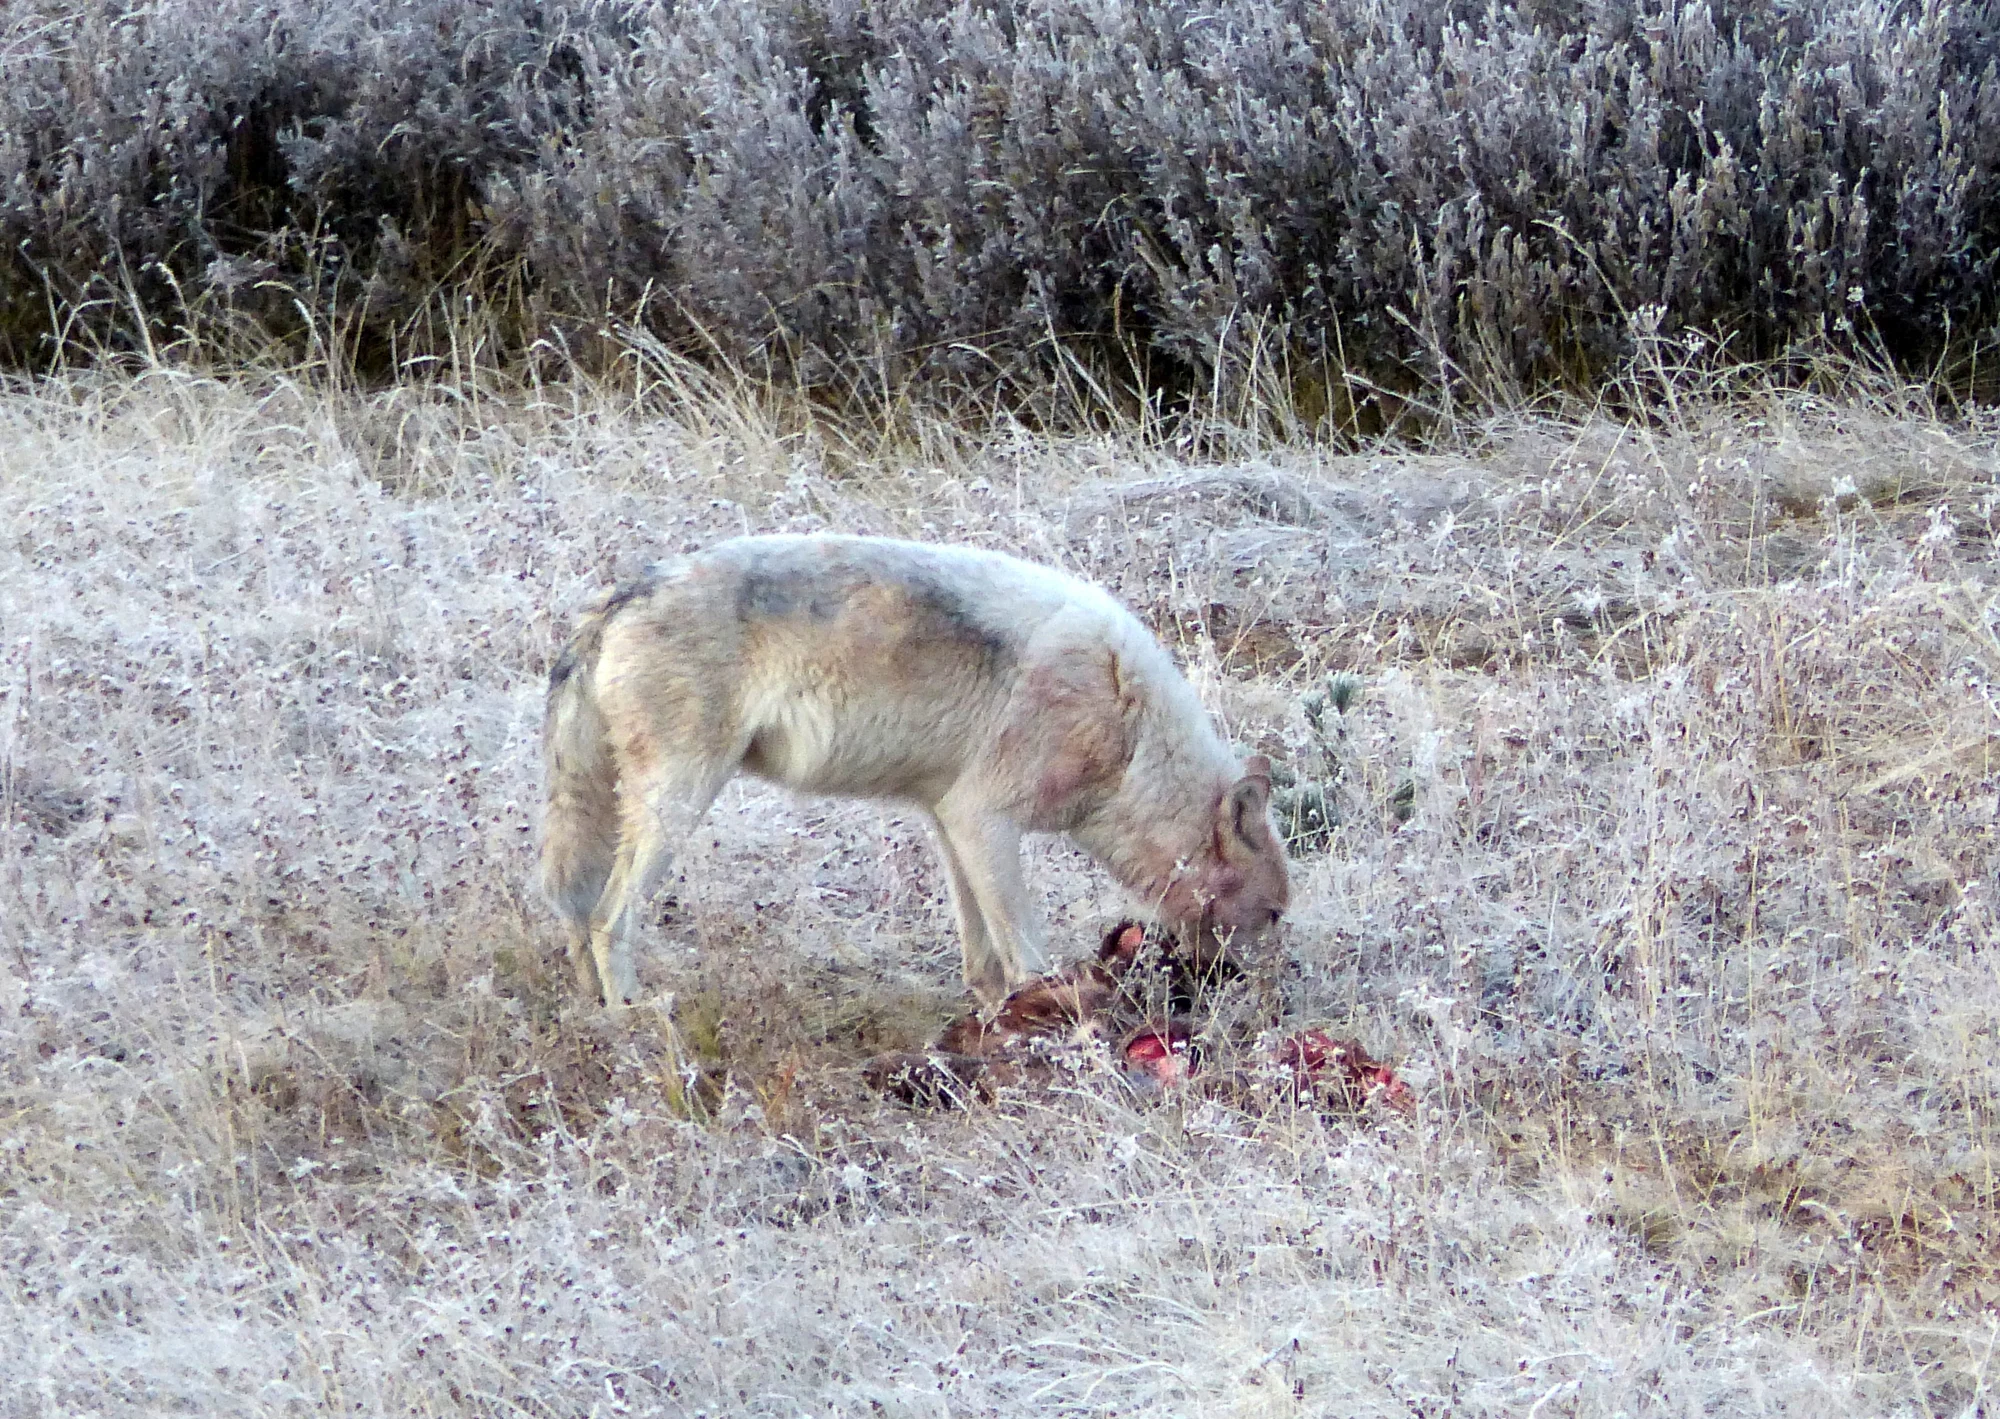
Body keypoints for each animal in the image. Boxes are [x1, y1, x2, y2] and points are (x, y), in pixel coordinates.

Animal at [540, 534, 1289, 1008]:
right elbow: (1028, 955)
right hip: (681, 801)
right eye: (1277, 914)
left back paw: (592, 1008)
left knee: (578, 916)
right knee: (608, 918)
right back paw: (635, 1015)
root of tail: (620, 596)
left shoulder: (951, 819)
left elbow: (983, 959)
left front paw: (991, 1022)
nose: (1270, 997)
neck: (1129, 736)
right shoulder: (984, 818)